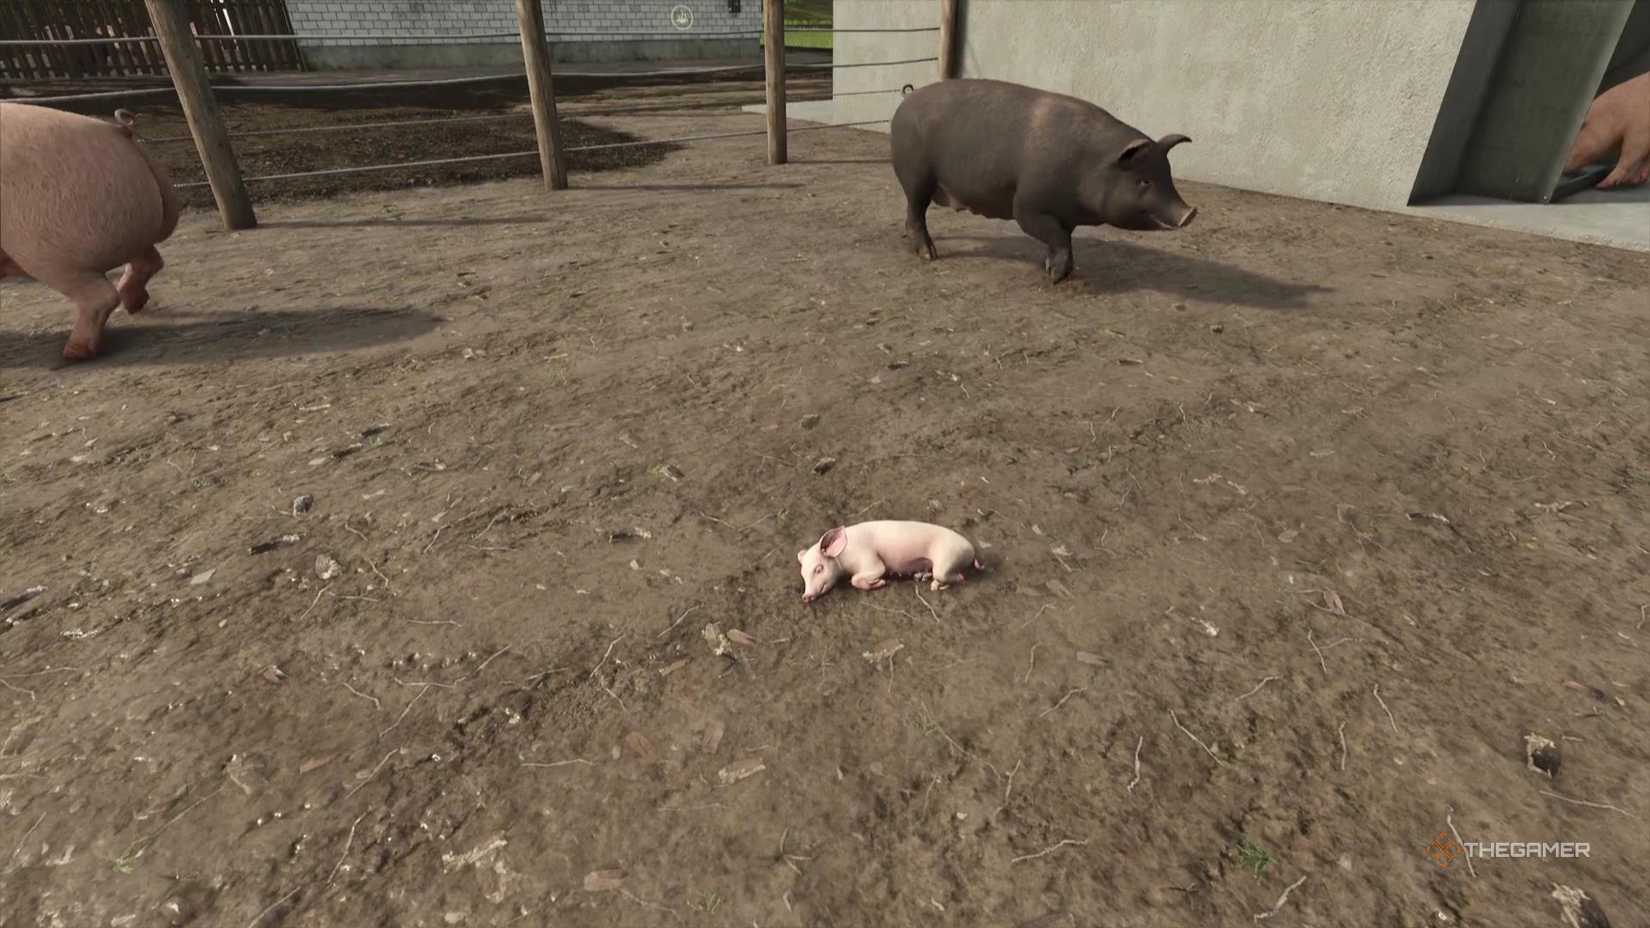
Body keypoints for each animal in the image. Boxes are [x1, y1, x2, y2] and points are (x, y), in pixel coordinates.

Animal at [0, 102, 180, 361]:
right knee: (149, 261)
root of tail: (117, 130)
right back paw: (133, 306)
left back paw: (74, 353)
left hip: (46, 250)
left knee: (100, 296)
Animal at [797, 520, 983, 603]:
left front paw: (881, 582)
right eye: (803, 574)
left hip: (947, 559)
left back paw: (935, 586)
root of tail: (972, 550)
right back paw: (921, 578)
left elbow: (858, 578)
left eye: (819, 569)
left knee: (960, 578)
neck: (844, 558)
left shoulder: (870, 560)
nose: (805, 596)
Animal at [889, 78, 1197, 283]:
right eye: (1143, 181)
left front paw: (1062, 271)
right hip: (916, 175)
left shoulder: (1066, 214)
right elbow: (1054, 235)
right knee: (915, 211)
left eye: (1168, 173)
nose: (1190, 213)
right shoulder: (1027, 205)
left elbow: (1064, 238)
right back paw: (929, 255)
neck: (1089, 167)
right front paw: (1055, 278)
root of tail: (906, 100)